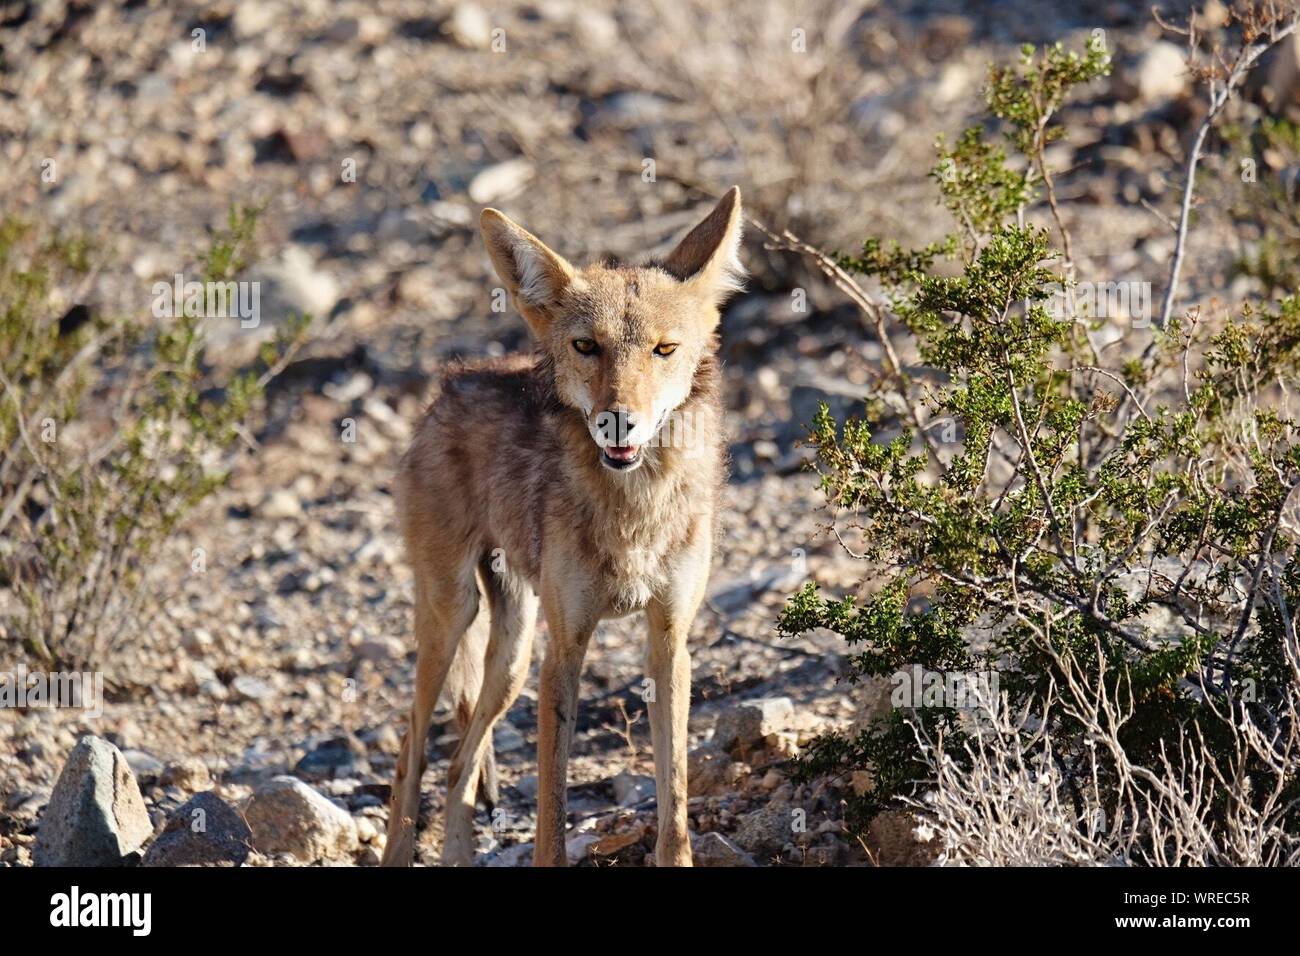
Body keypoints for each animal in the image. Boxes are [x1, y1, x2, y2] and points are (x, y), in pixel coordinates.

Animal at [380, 188, 744, 867]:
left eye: (663, 350)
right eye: (586, 347)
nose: (618, 422)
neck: (635, 509)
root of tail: (450, 384)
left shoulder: (670, 642)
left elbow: (675, 801)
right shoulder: (564, 652)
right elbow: (550, 814)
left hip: (512, 656)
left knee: (459, 764)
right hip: (455, 620)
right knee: (412, 752)